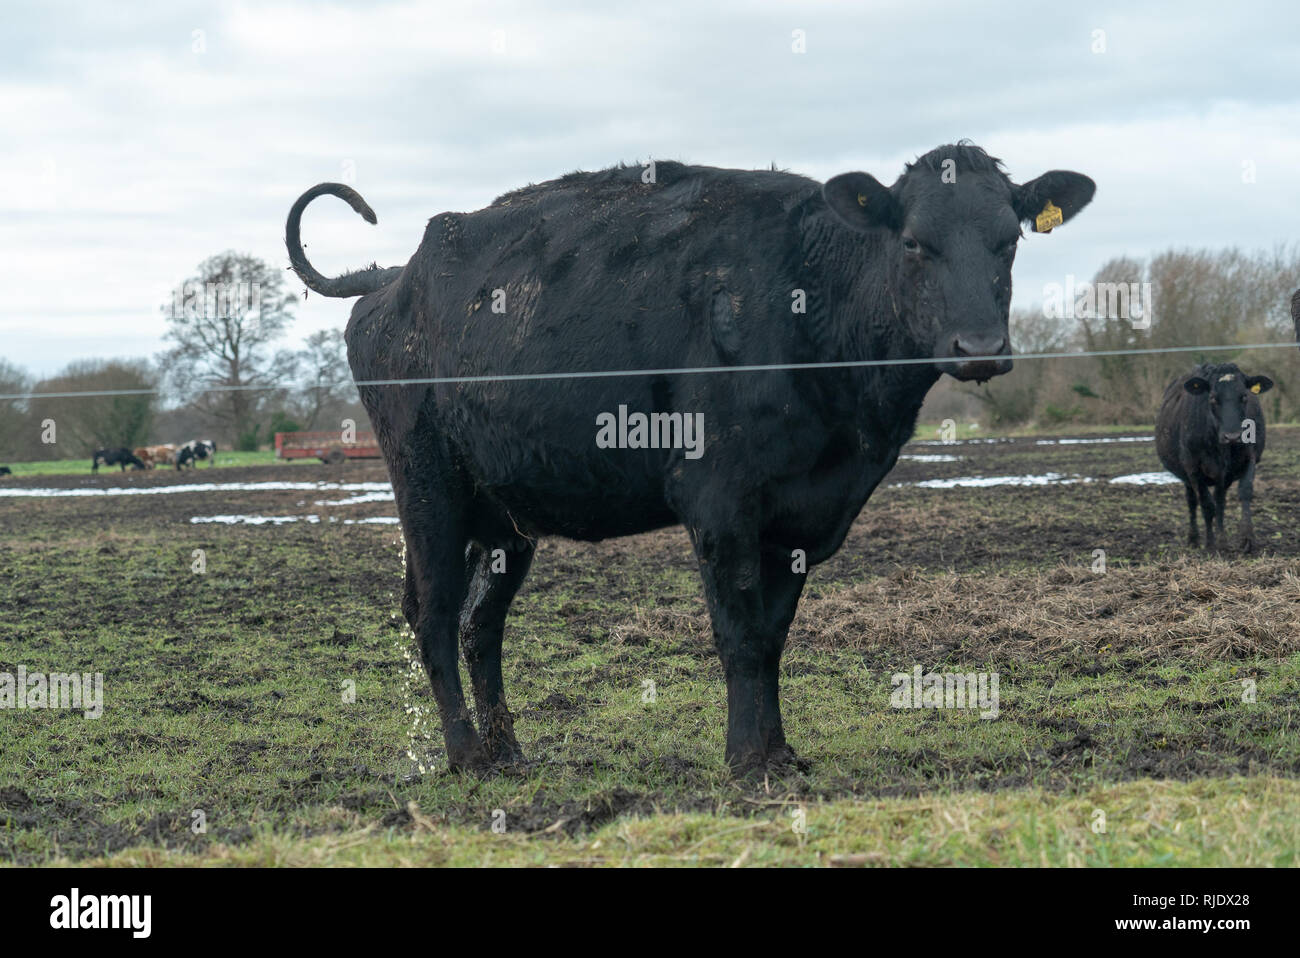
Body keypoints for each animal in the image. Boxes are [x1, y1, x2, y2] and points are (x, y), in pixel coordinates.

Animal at [287, 141, 1097, 774]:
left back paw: (508, 752)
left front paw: (780, 751)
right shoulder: (719, 498)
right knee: (431, 612)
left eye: (1009, 241)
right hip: (424, 482)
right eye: (914, 243)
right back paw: (464, 757)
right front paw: (747, 761)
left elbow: (773, 635)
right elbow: (738, 631)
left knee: (480, 624)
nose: (980, 348)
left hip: (506, 513)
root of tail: (395, 275)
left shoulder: (801, 518)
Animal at [1159, 361, 1268, 553]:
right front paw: (1210, 544)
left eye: (1244, 396)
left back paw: (1222, 539)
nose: (1232, 436)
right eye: (1213, 398)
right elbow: (1206, 505)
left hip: (1222, 476)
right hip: (1188, 476)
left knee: (1220, 501)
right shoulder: (1193, 467)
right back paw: (1194, 539)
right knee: (1192, 501)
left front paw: (1247, 539)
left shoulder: (1250, 457)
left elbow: (1244, 492)